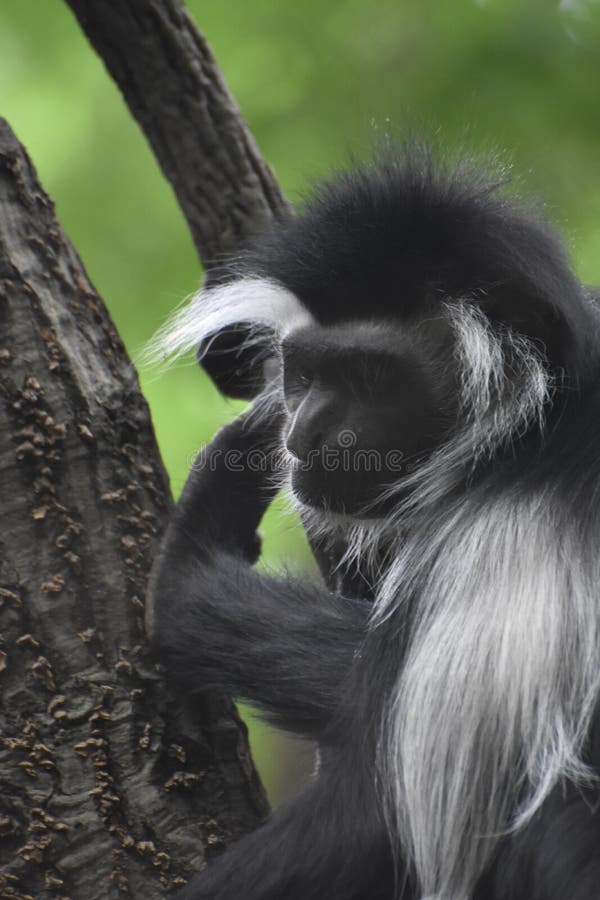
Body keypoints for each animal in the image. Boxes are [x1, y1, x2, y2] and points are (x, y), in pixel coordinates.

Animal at [147, 146, 600, 899]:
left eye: (370, 377)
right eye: (303, 370)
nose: (303, 433)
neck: (530, 424)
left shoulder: (496, 543)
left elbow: (376, 819)